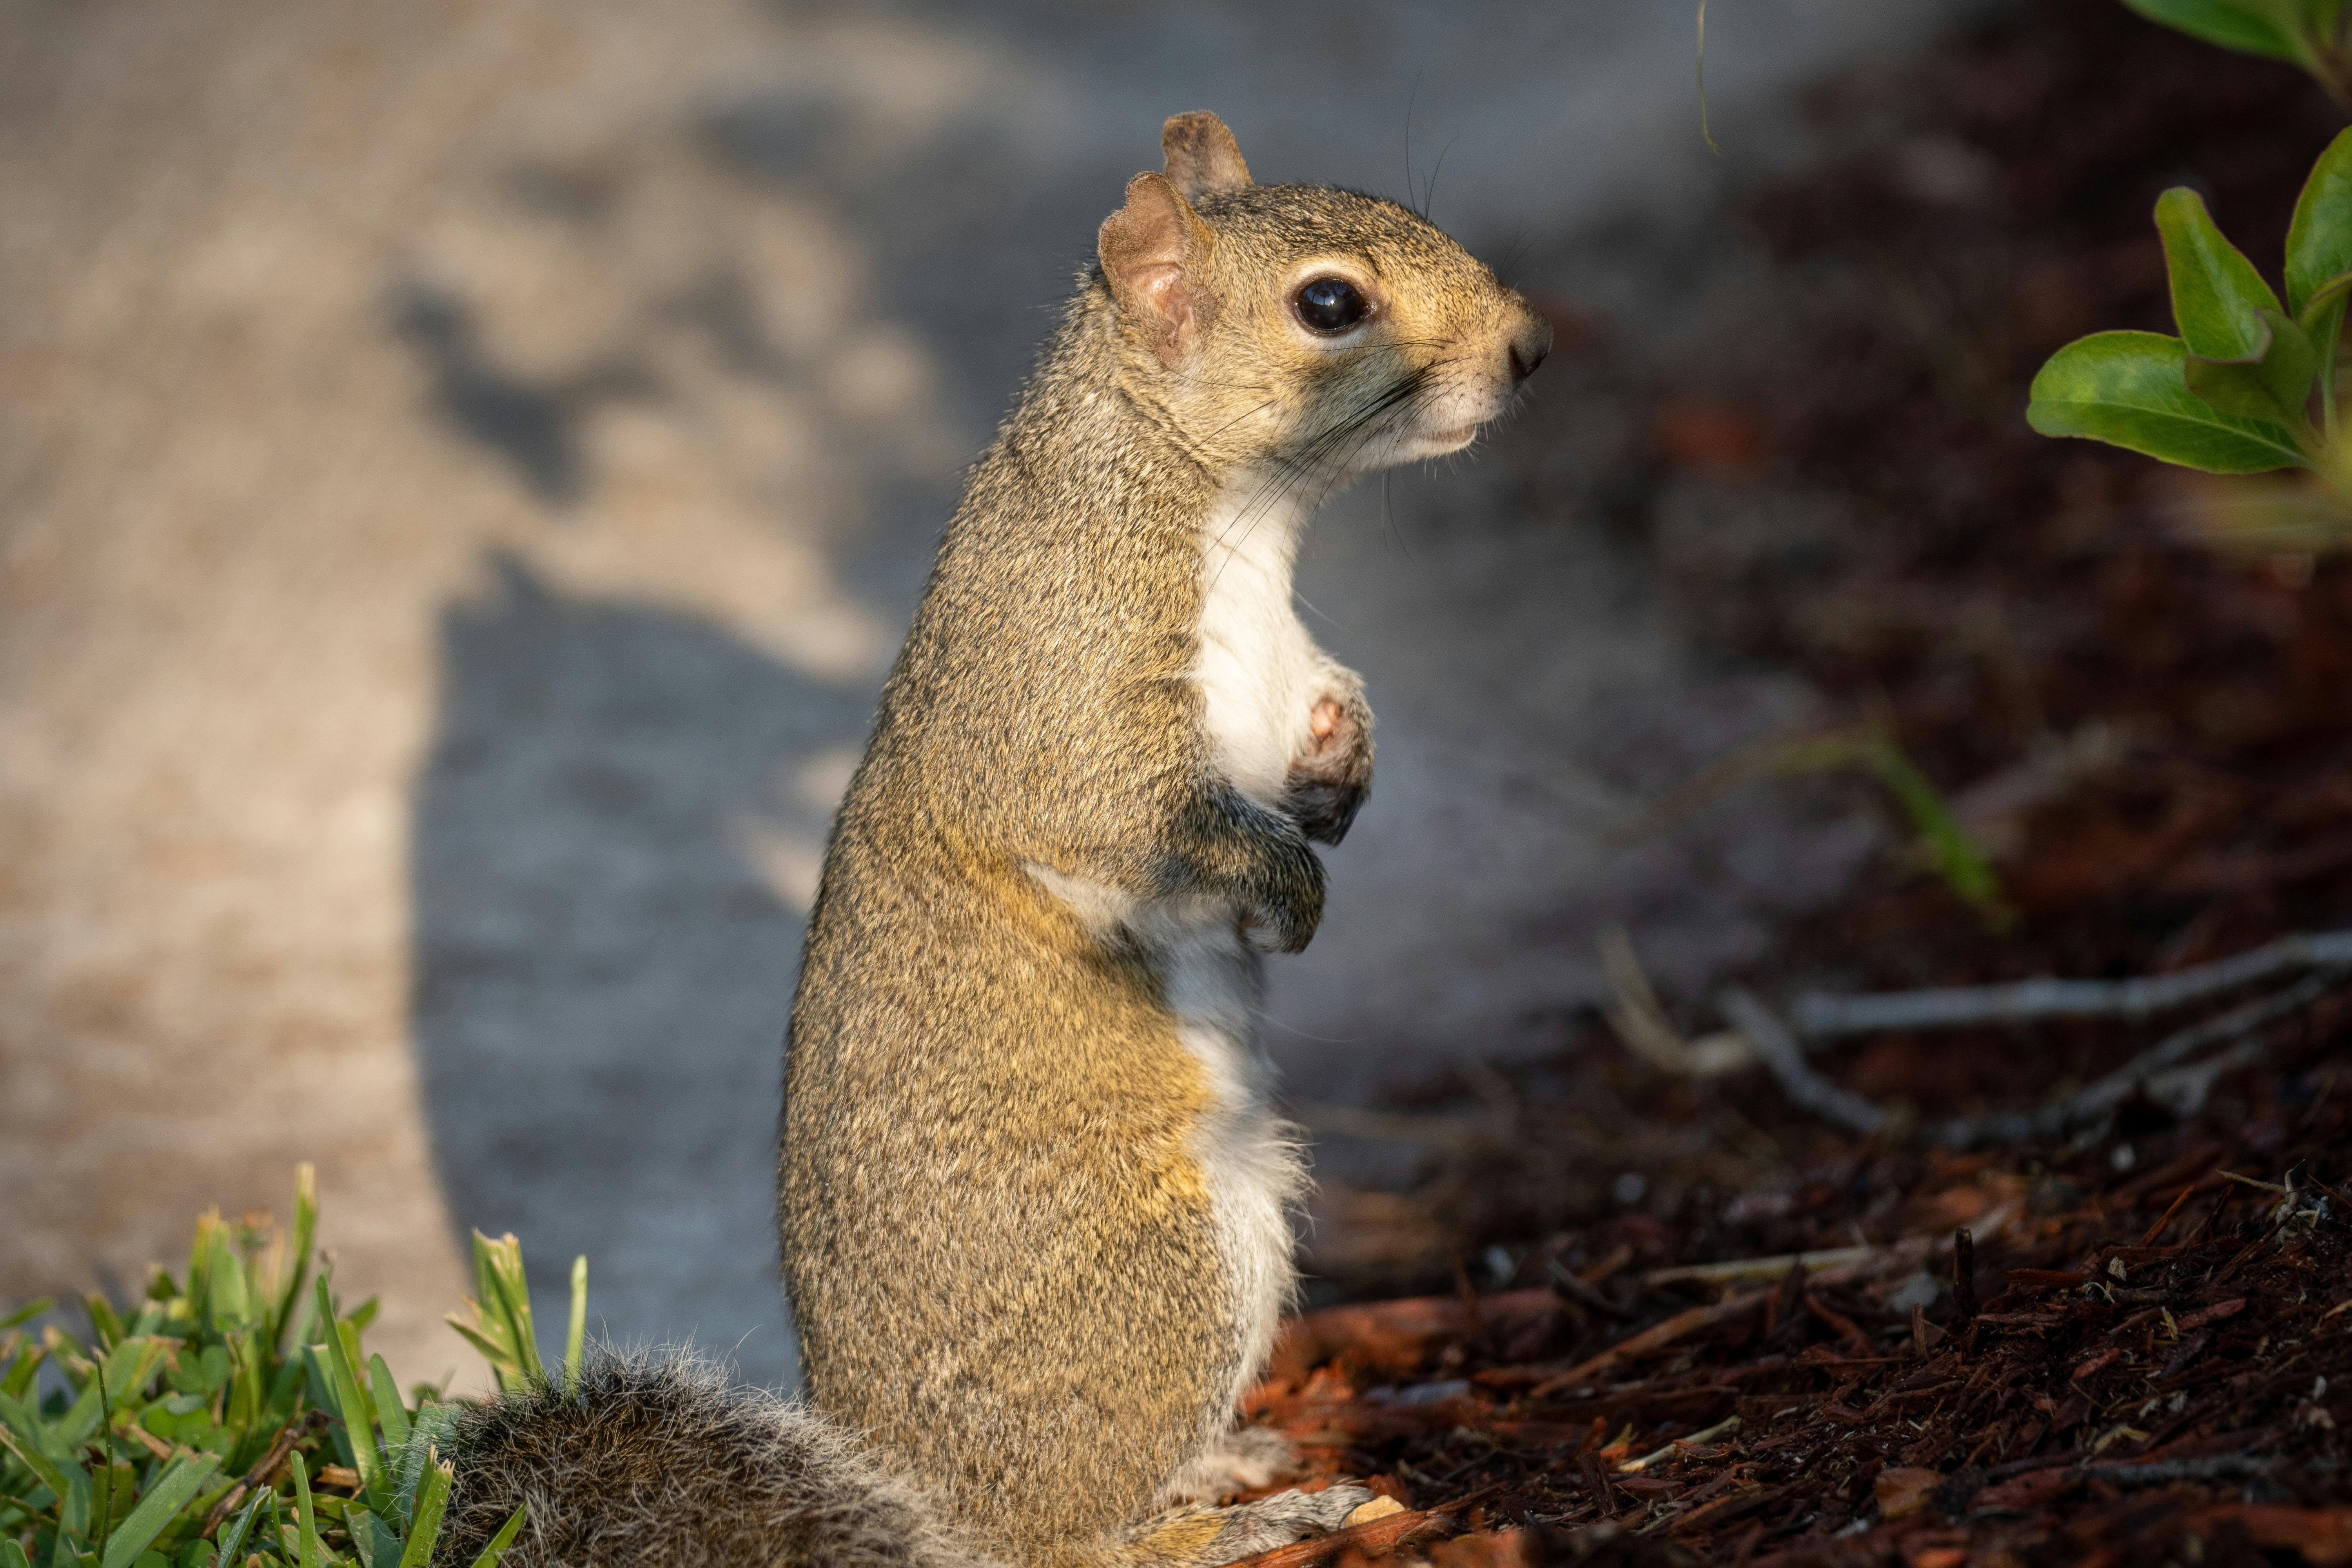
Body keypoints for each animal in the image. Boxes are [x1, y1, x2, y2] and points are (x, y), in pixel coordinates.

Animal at [431, 112, 1550, 1568]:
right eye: (1329, 304)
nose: (1531, 346)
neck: (1227, 520)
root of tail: (928, 1506)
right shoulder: (1058, 690)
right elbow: (1117, 814)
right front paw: (1287, 886)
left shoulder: (1278, 660)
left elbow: (1328, 703)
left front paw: (1341, 767)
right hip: (1168, 1271)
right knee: (1074, 1541)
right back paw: (1236, 1520)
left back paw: (1227, 1465)